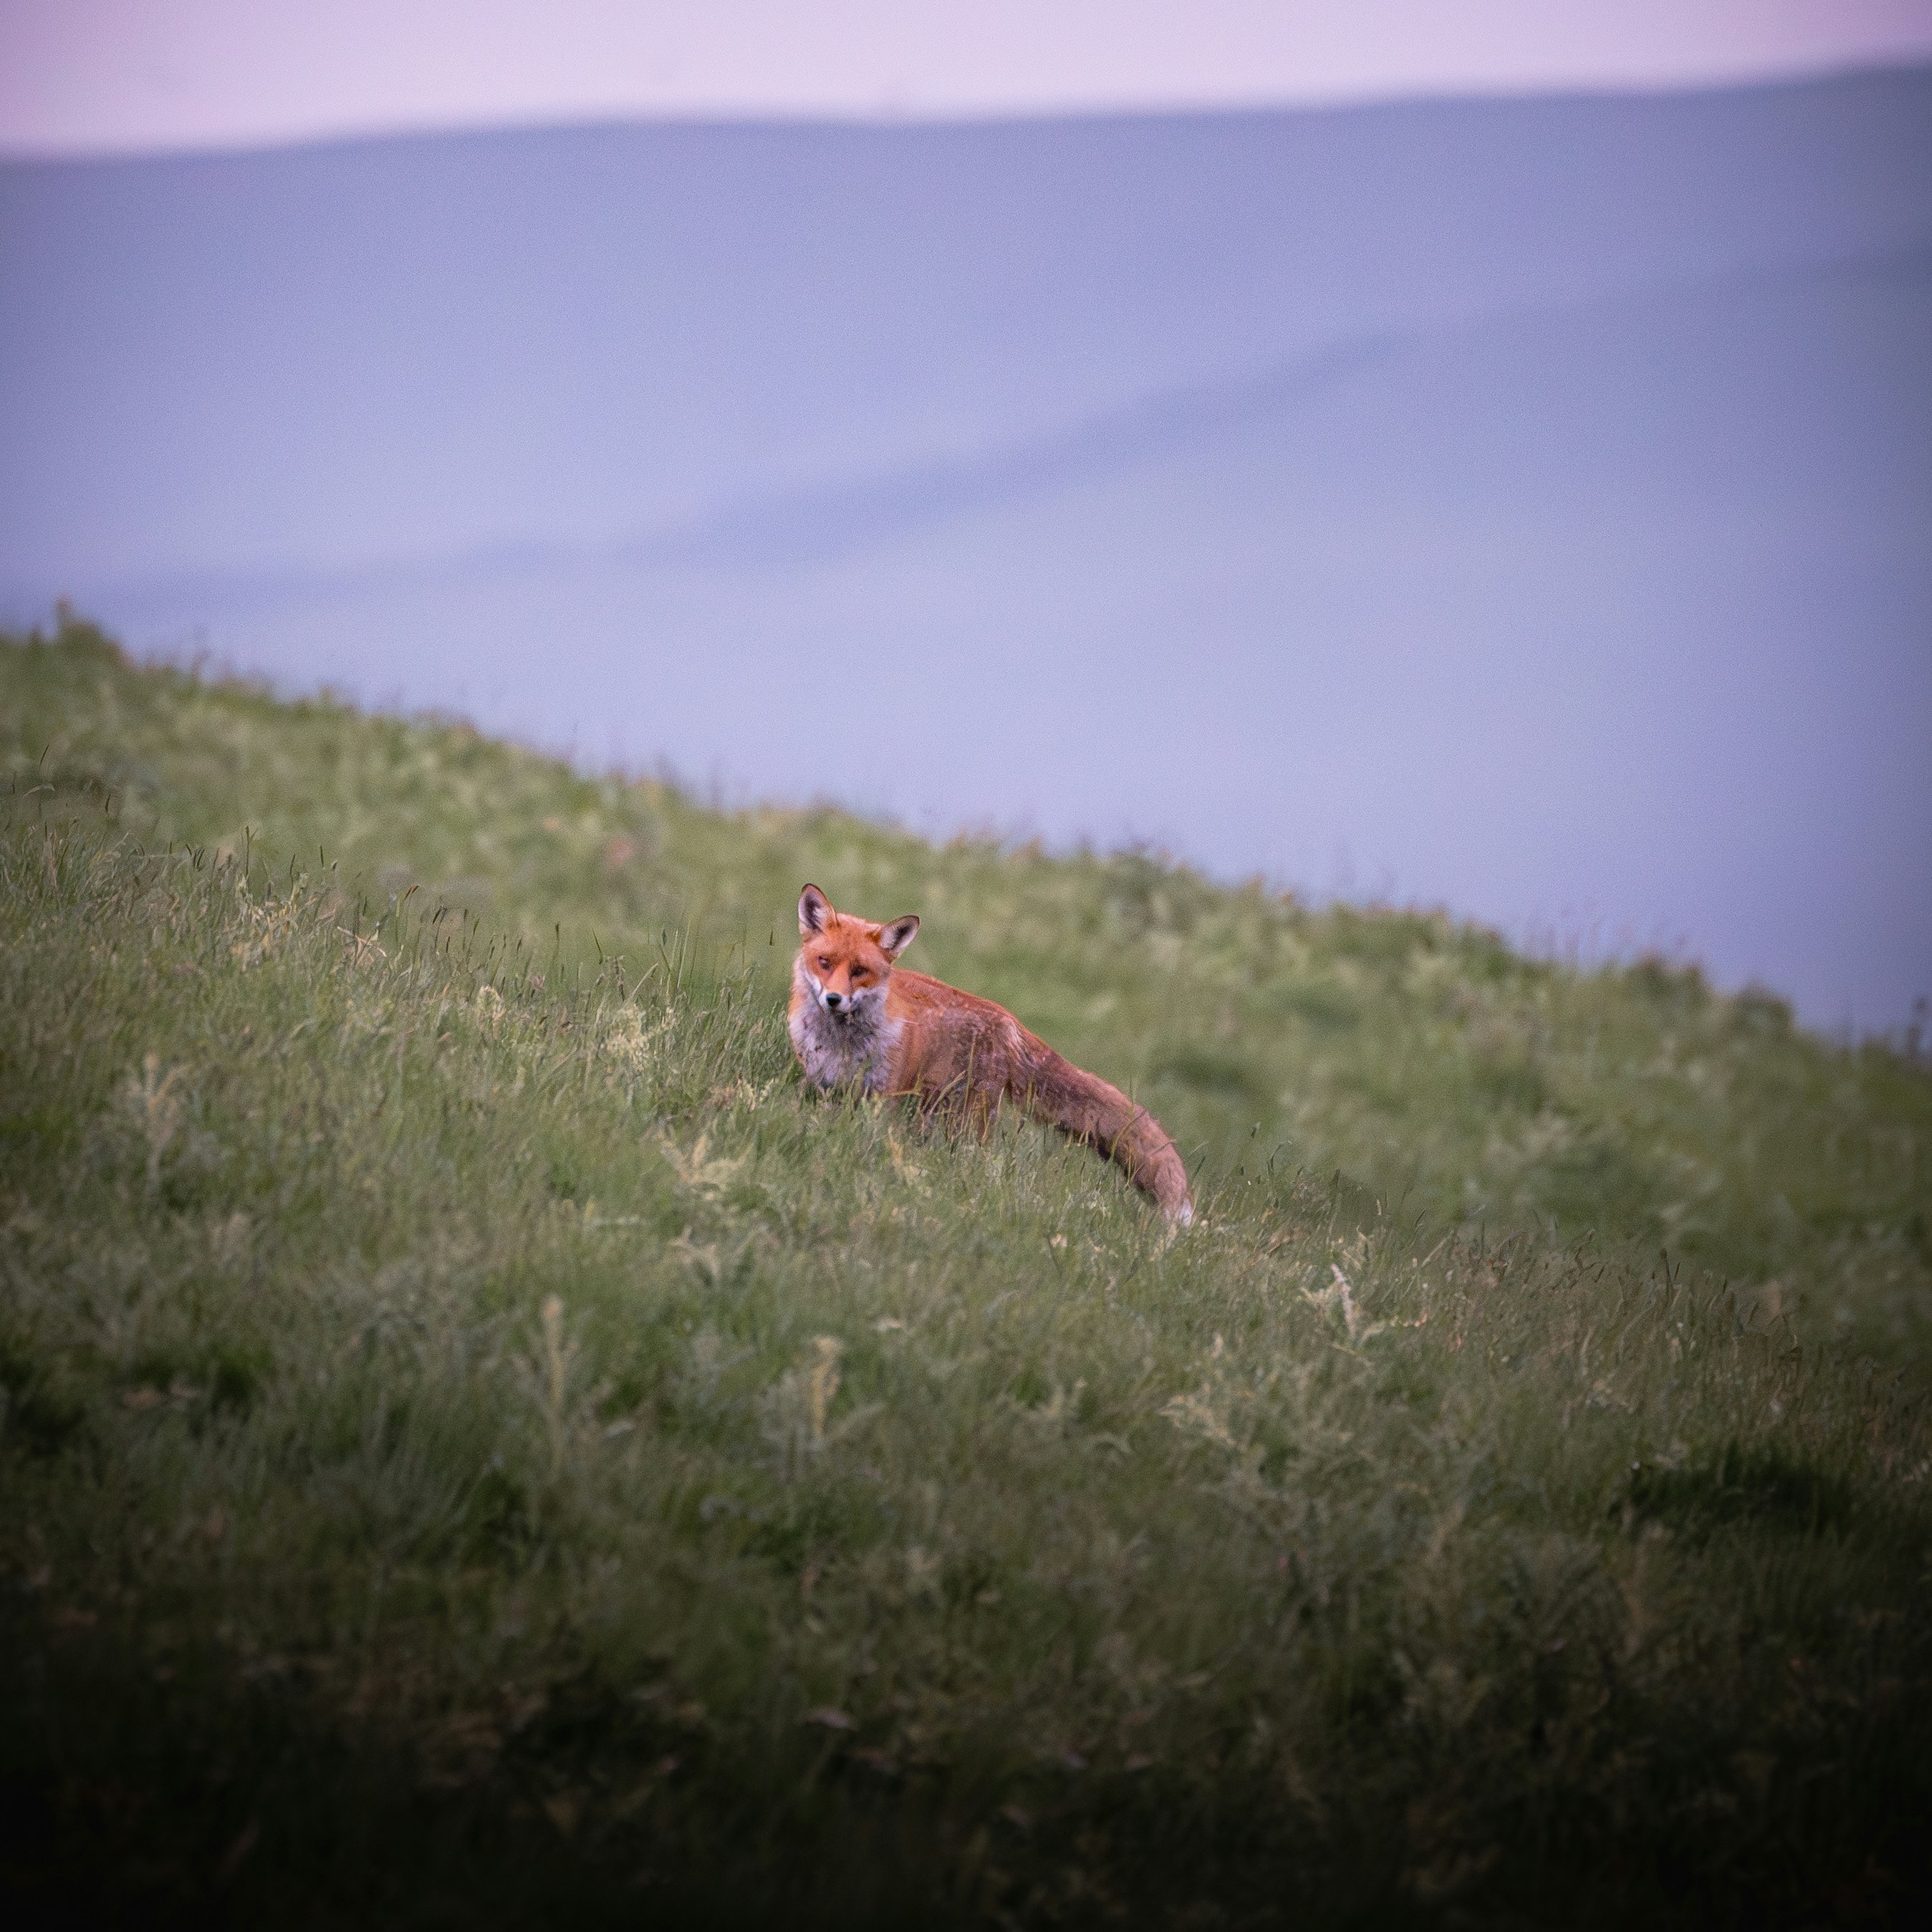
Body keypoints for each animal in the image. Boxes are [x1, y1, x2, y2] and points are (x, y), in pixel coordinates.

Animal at [788, 883, 1193, 1224]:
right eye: (824, 962)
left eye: (860, 971)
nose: (834, 999)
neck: (842, 1044)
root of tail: (1007, 1018)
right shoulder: (819, 1082)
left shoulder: (881, 1098)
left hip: (965, 1122)